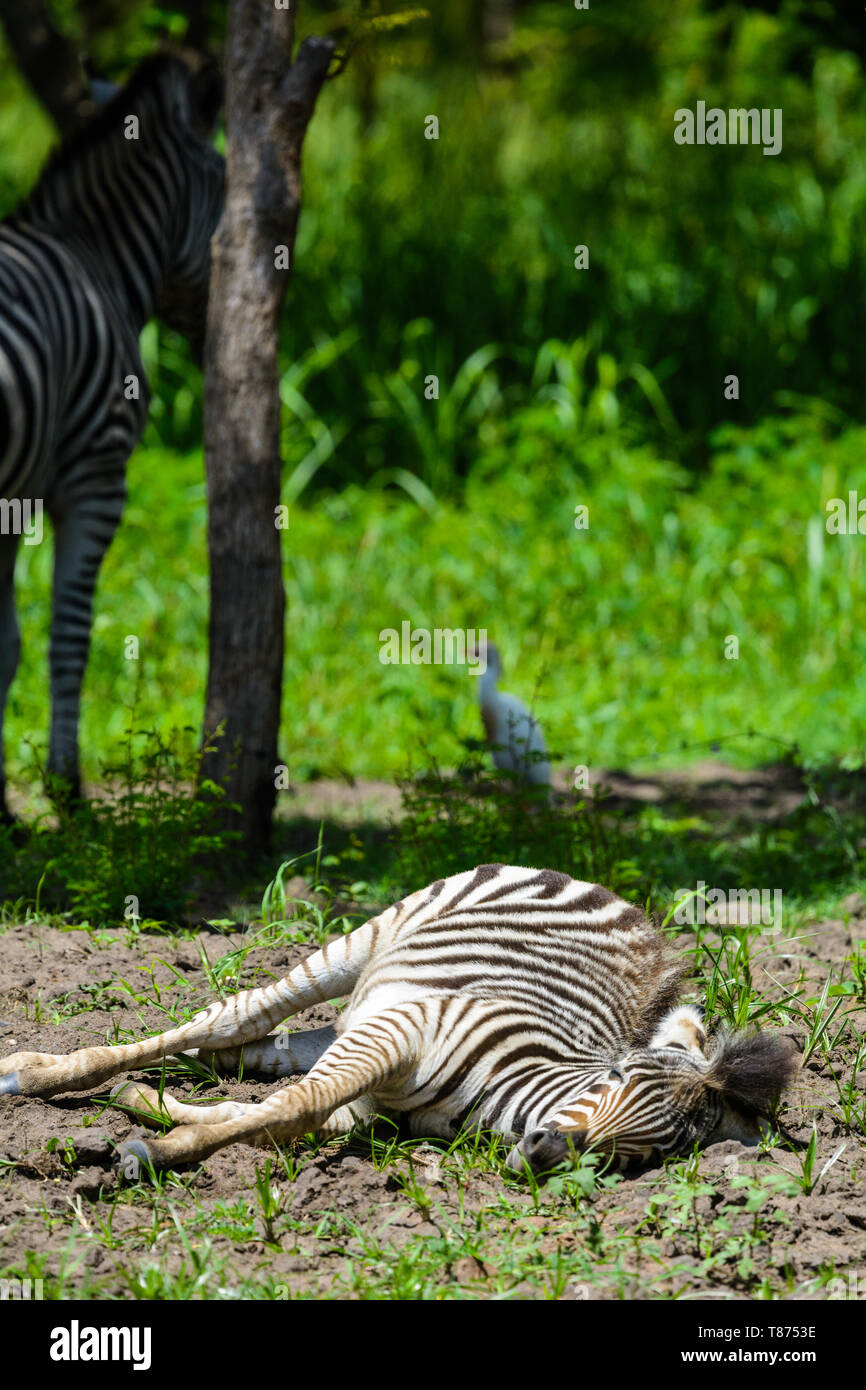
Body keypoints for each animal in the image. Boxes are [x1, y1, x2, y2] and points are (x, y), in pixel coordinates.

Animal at [0, 55, 224, 824]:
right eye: (228, 191)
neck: (94, 255)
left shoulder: (14, 500)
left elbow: (3, 646)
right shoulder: (95, 480)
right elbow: (67, 636)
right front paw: (66, 793)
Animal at [0, 863, 796, 1176]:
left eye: (656, 1152)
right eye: (615, 1077)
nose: (546, 1152)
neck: (499, 1095)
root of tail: (620, 898)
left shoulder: (373, 1094)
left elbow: (278, 1114)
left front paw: (151, 1116)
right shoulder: (401, 1030)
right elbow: (291, 1109)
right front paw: (151, 1148)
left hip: (366, 1005)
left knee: (262, 1049)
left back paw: (154, 1083)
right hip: (364, 946)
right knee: (225, 1022)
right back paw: (34, 1074)